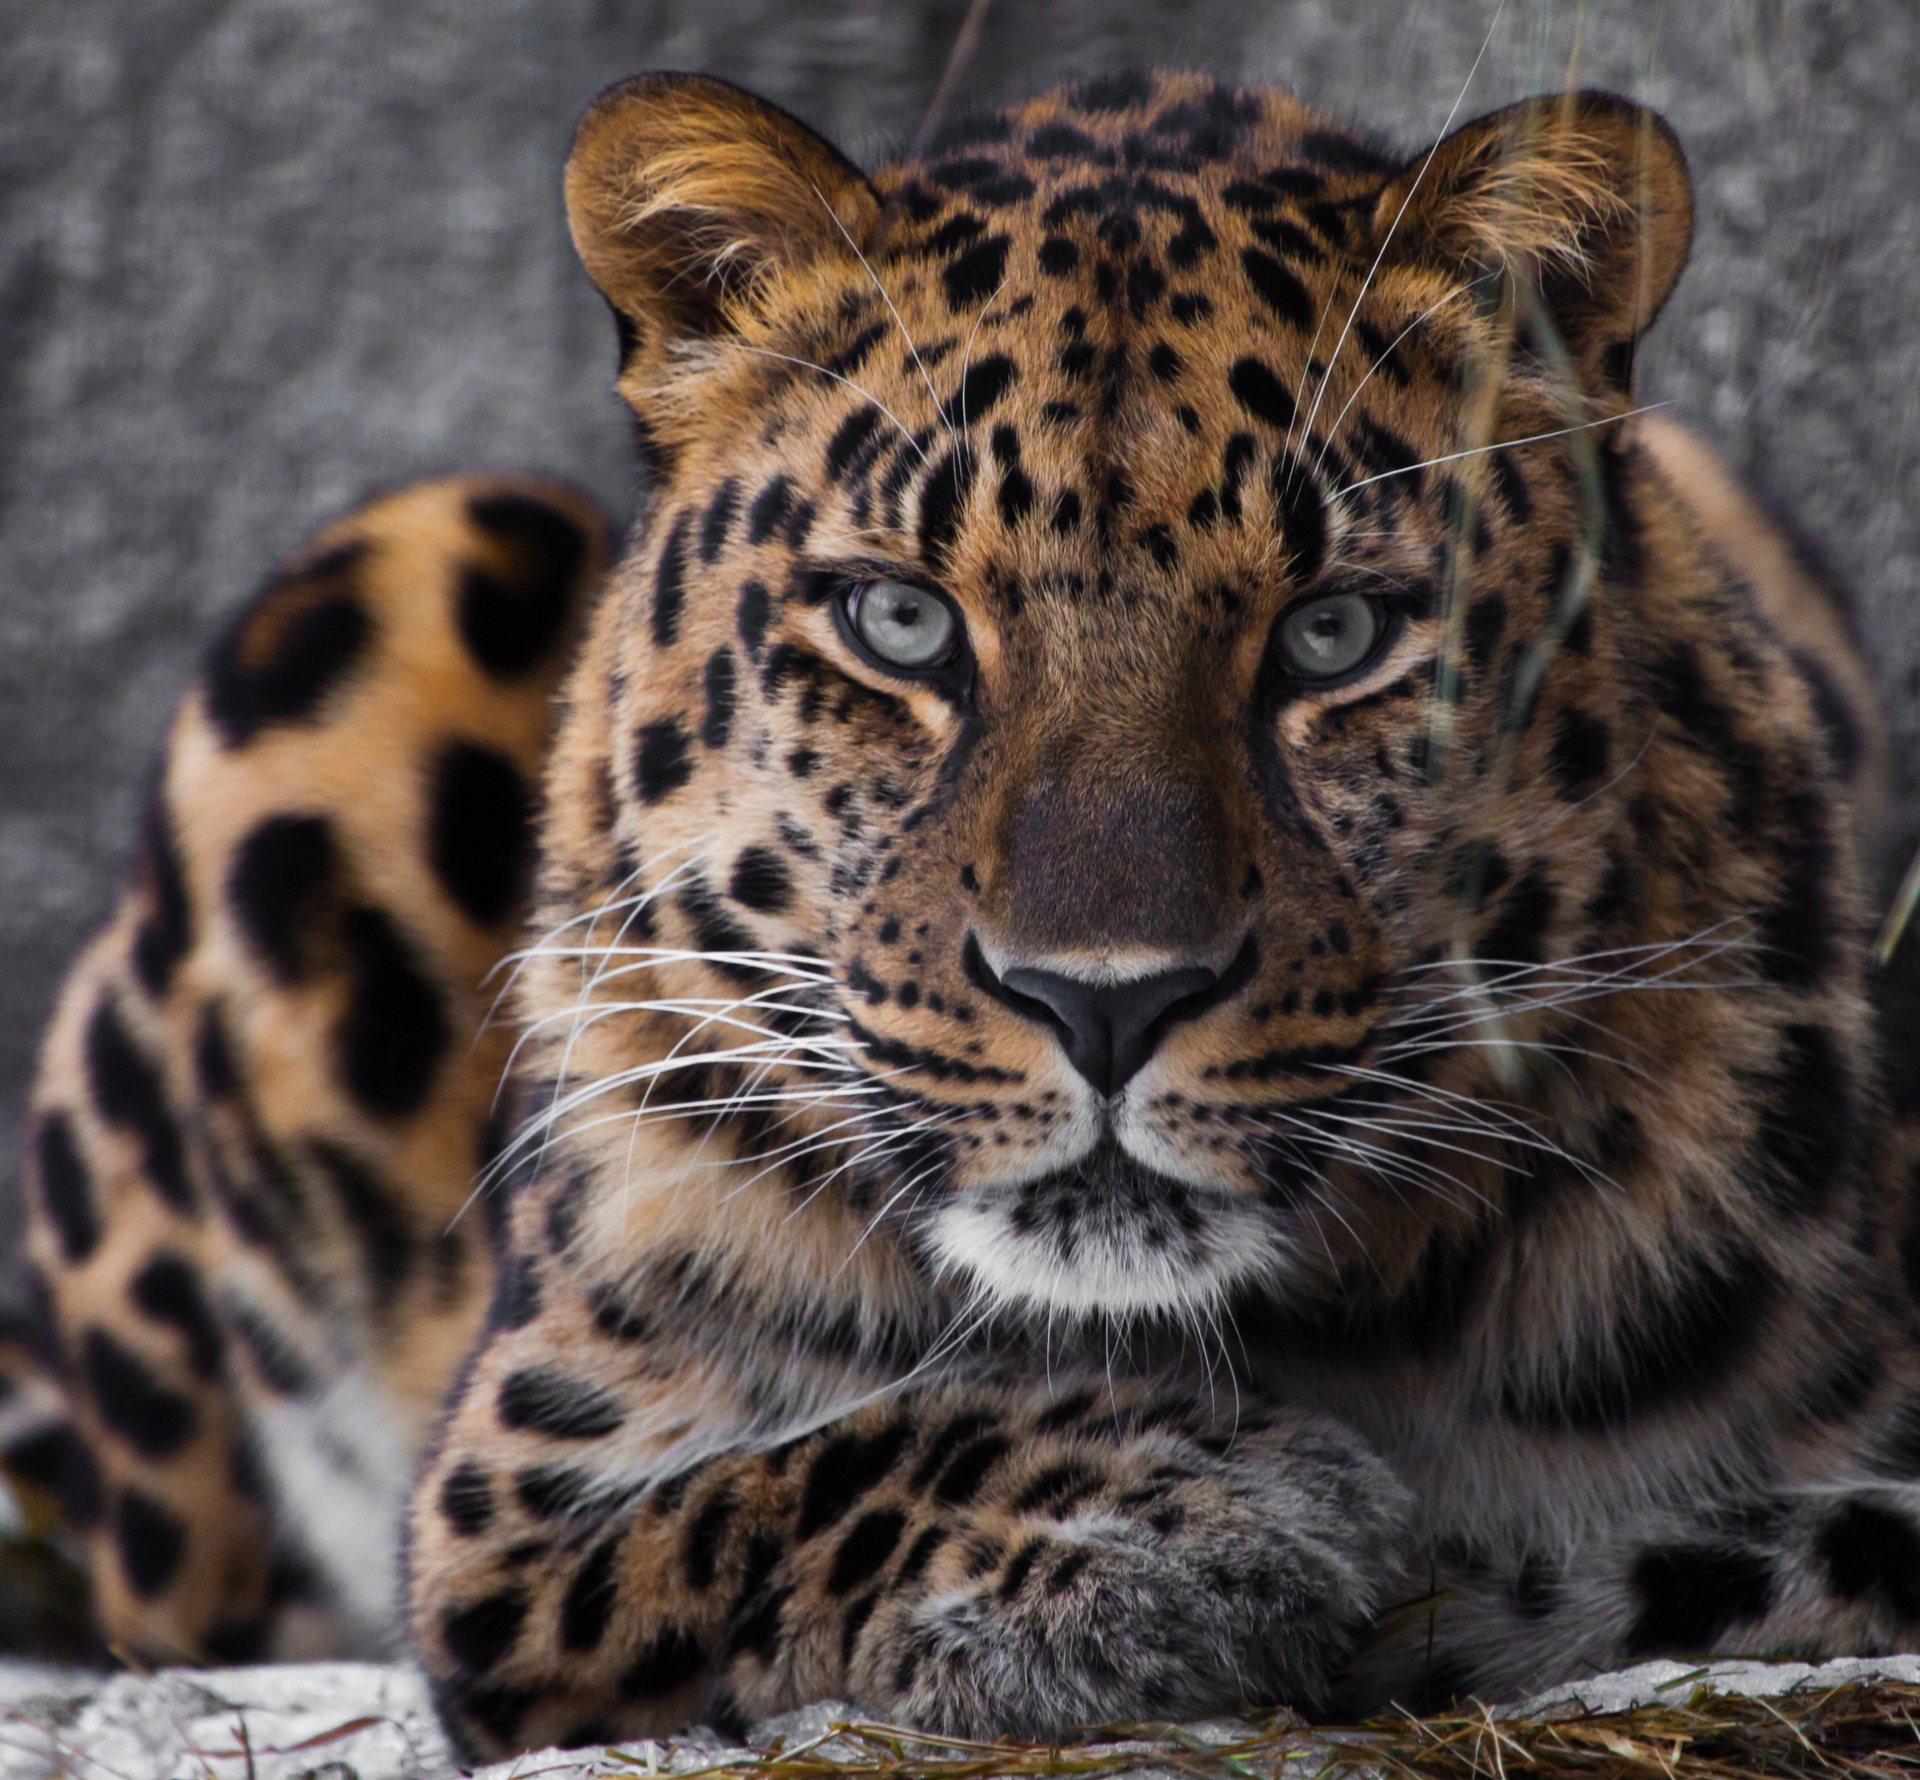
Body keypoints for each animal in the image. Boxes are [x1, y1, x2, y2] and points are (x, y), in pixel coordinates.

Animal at [13, 66, 1920, 1760]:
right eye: (904, 624)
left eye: (1334, 637)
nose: (1106, 1003)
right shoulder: (505, 1506)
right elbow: (785, 1482)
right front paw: (1178, 1522)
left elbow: (1780, 1551)